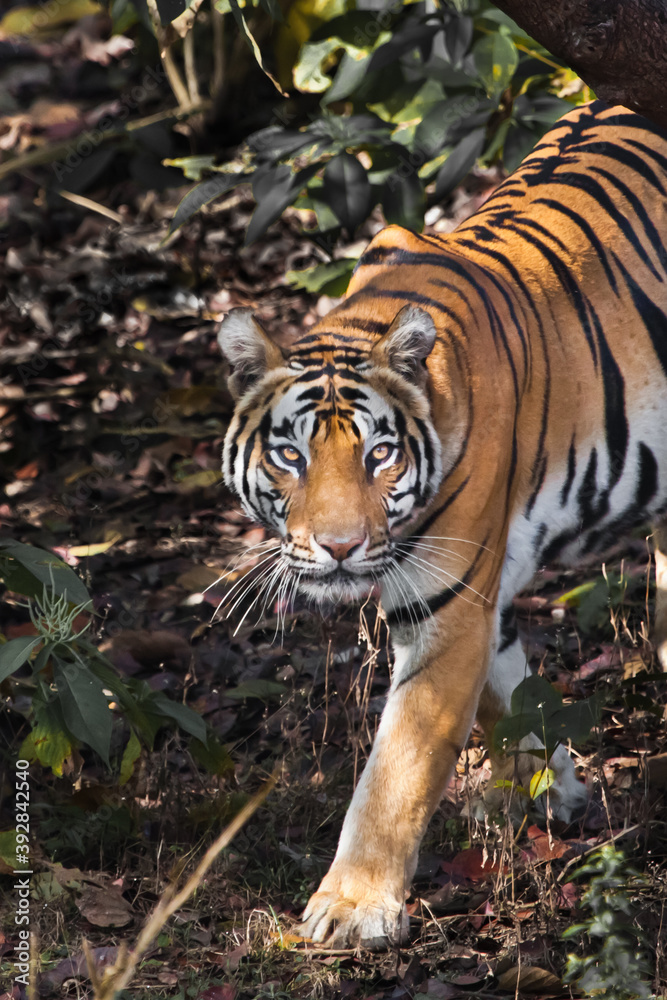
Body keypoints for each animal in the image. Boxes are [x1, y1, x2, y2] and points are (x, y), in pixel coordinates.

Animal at [217, 101, 667, 950]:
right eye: (291, 454)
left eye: (379, 454)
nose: (338, 547)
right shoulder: (477, 598)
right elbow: (510, 696)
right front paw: (548, 791)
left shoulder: (446, 604)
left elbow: (398, 764)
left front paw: (353, 906)